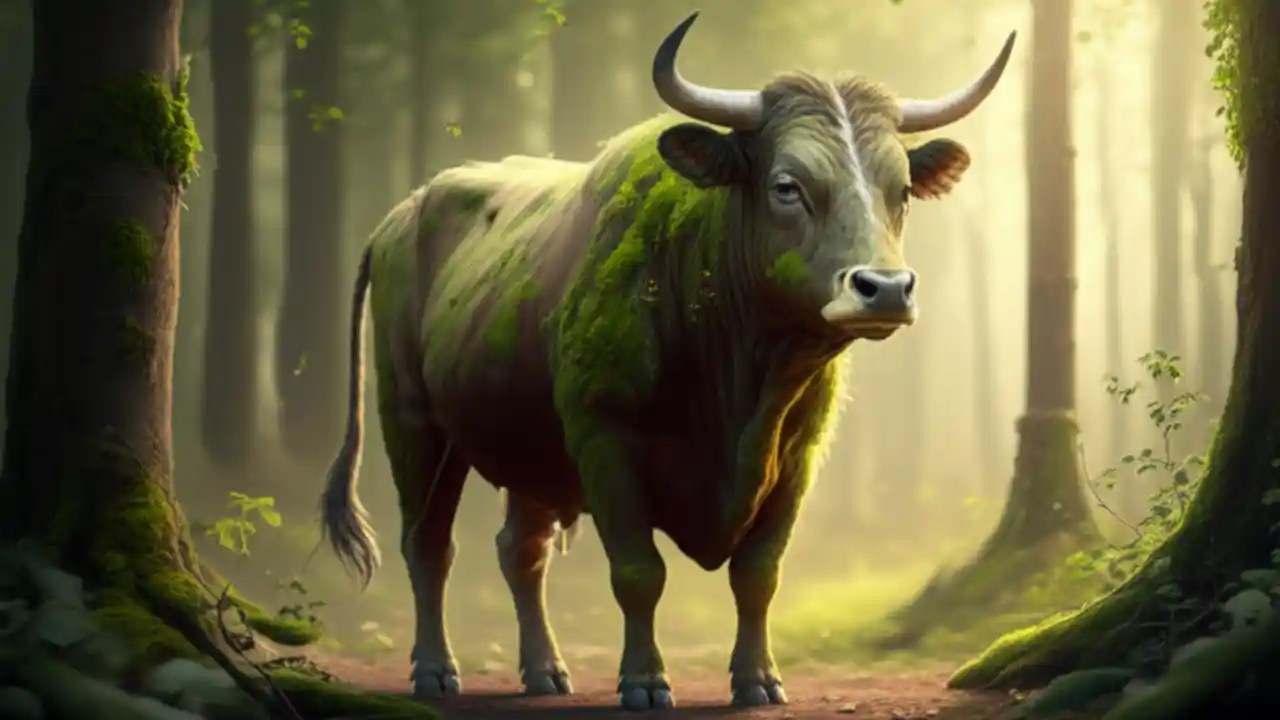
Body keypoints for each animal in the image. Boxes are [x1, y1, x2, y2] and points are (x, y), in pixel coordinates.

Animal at [319, 12, 1014, 711]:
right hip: (412, 420)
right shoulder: (604, 437)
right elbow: (638, 572)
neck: (742, 380)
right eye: (786, 187)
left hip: (528, 441)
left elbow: (759, 573)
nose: (886, 289)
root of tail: (400, 215)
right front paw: (646, 681)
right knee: (428, 545)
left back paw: (544, 669)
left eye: (902, 190)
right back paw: (436, 670)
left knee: (520, 551)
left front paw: (758, 679)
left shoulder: (797, 454)